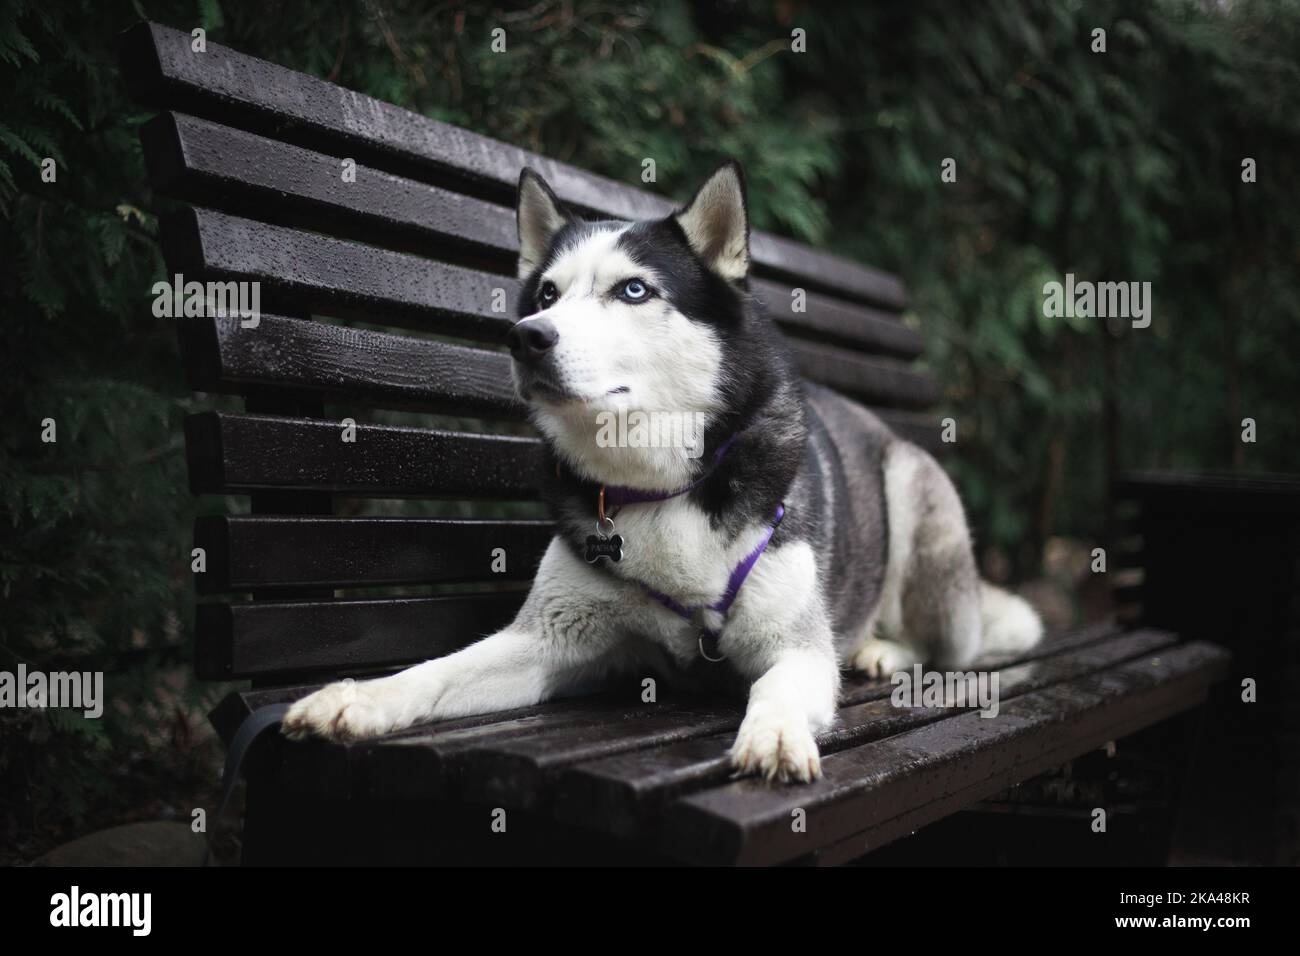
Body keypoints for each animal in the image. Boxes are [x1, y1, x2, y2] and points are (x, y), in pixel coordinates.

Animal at [282, 161, 1042, 782]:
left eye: (633, 291)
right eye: (547, 294)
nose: (526, 337)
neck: (660, 490)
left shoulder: (796, 646)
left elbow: (779, 683)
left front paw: (774, 733)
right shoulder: (547, 639)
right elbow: (439, 670)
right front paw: (359, 698)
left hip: (921, 514)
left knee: (950, 643)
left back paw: (884, 648)